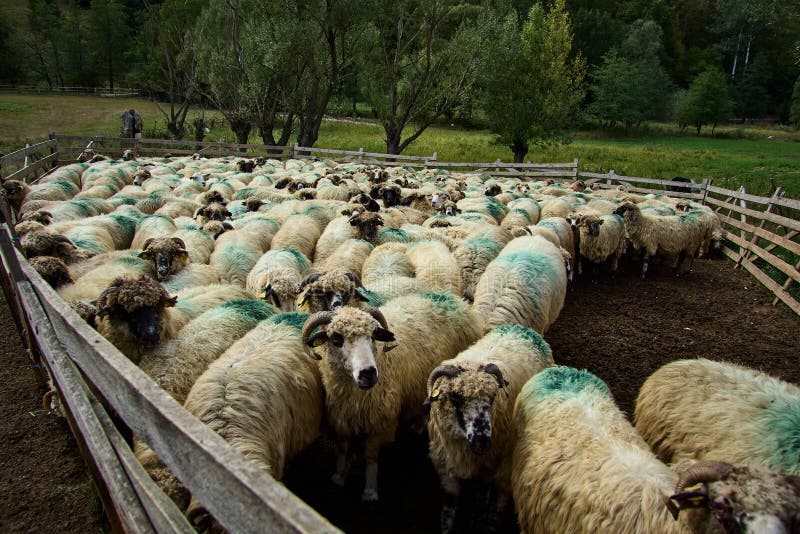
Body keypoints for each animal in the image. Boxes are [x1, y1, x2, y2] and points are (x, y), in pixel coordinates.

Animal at [303, 291, 485, 501]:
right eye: (336, 338)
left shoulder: (379, 421)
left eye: (373, 336)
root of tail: (453, 298)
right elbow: (342, 447)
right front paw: (339, 477)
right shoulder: (342, 416)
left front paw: (370, 491)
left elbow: (370, 457)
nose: (368, 373)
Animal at [426, 324, 554, 533]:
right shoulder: (446, 467)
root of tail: (524, 329)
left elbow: (480, 502)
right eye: (455, 398)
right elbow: (449, 507)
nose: (482, 442)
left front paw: (477, 522)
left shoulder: (487, 468)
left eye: (493, 397)